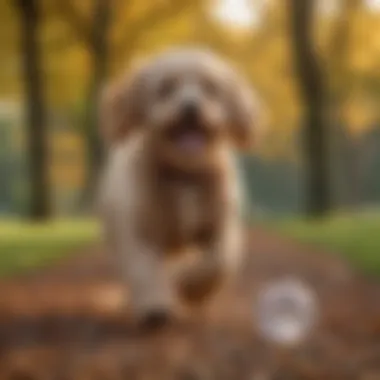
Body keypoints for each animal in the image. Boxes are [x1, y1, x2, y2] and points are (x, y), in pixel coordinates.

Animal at [97, 46, 262, 326]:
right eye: (166, 88)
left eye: (210, 88)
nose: (190, 107)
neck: (186, 174)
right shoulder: (141, 231)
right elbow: (144, 268)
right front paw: (155, 307)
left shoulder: (220, 223)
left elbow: (220, 260)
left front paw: (191, 289)